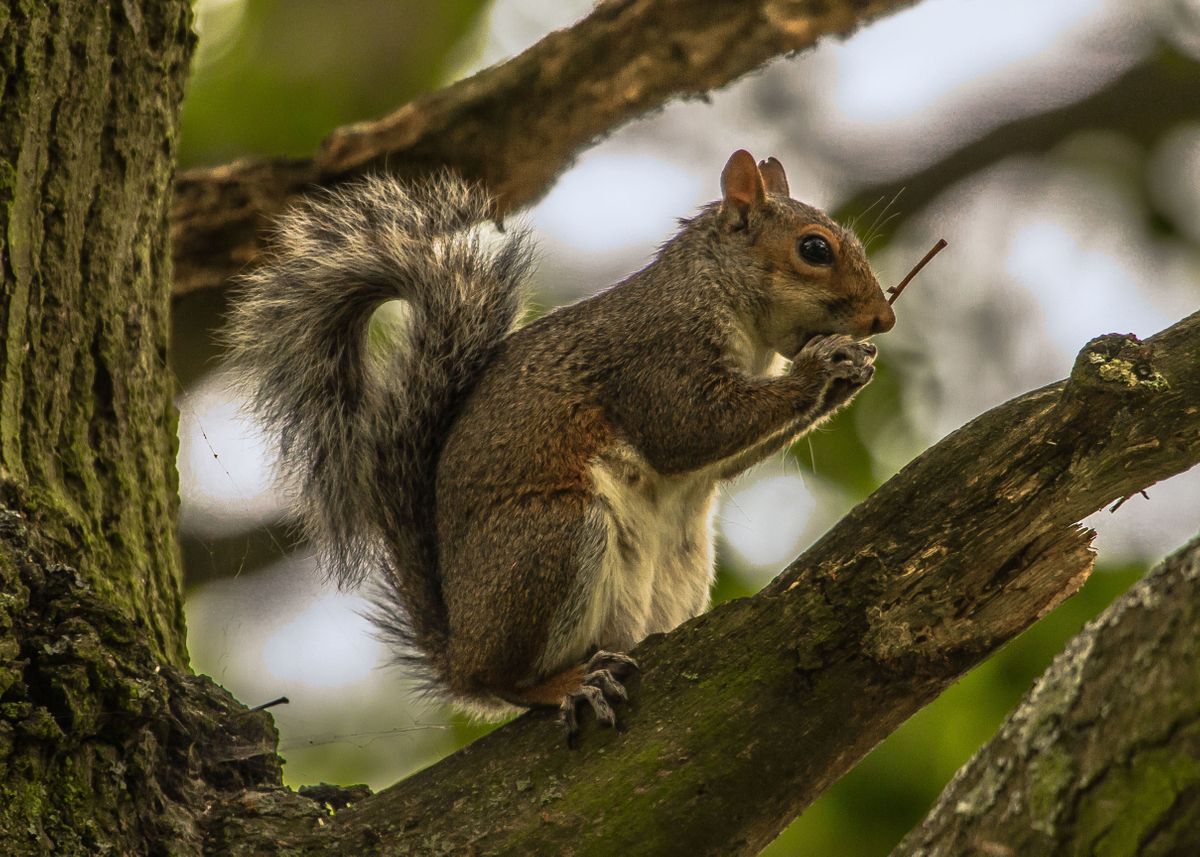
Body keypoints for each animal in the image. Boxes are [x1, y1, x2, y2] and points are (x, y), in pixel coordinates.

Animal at [226, 149, 895, 738]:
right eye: (814, 249)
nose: (882, 320)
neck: (722, 296)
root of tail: (459, 651)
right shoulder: (658, 356)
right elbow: (689, 430)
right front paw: (822, 367)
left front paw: (851, 372)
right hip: (553, 537)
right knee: (506, 682)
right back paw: (566, 684)